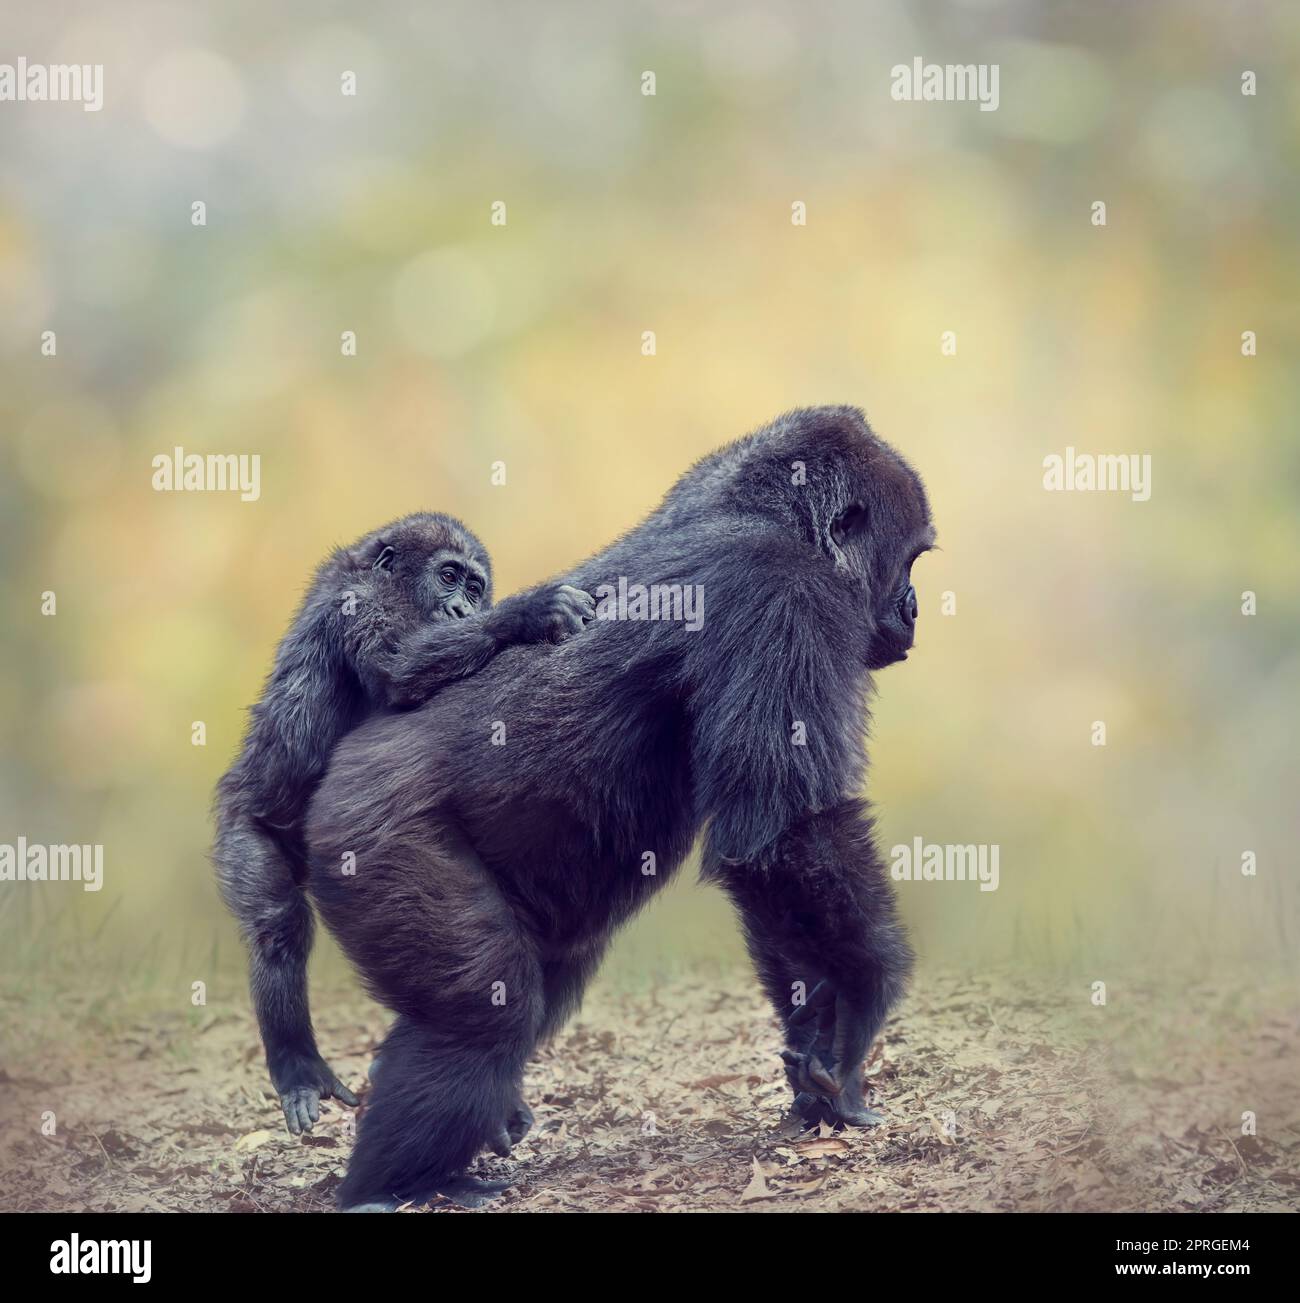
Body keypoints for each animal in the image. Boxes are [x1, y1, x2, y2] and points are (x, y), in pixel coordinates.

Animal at [214, 511, 595, 1136]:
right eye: (449, 577)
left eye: (475, 587)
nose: (464, 609)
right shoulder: (367, 605)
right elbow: (399, 665)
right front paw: (534, 609)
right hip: (241, 832)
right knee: (277, 926)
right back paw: (297, 1067)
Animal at [302, 408, 935, 1209]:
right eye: (909, 561)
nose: (914, 609)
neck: (767, 512)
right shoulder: (785, 591)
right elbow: (785, 835)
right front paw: (858, 1003)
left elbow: (776, 866)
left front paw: (817, 1038)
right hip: (365, 838)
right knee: (481, 1011)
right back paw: (394, 1184)